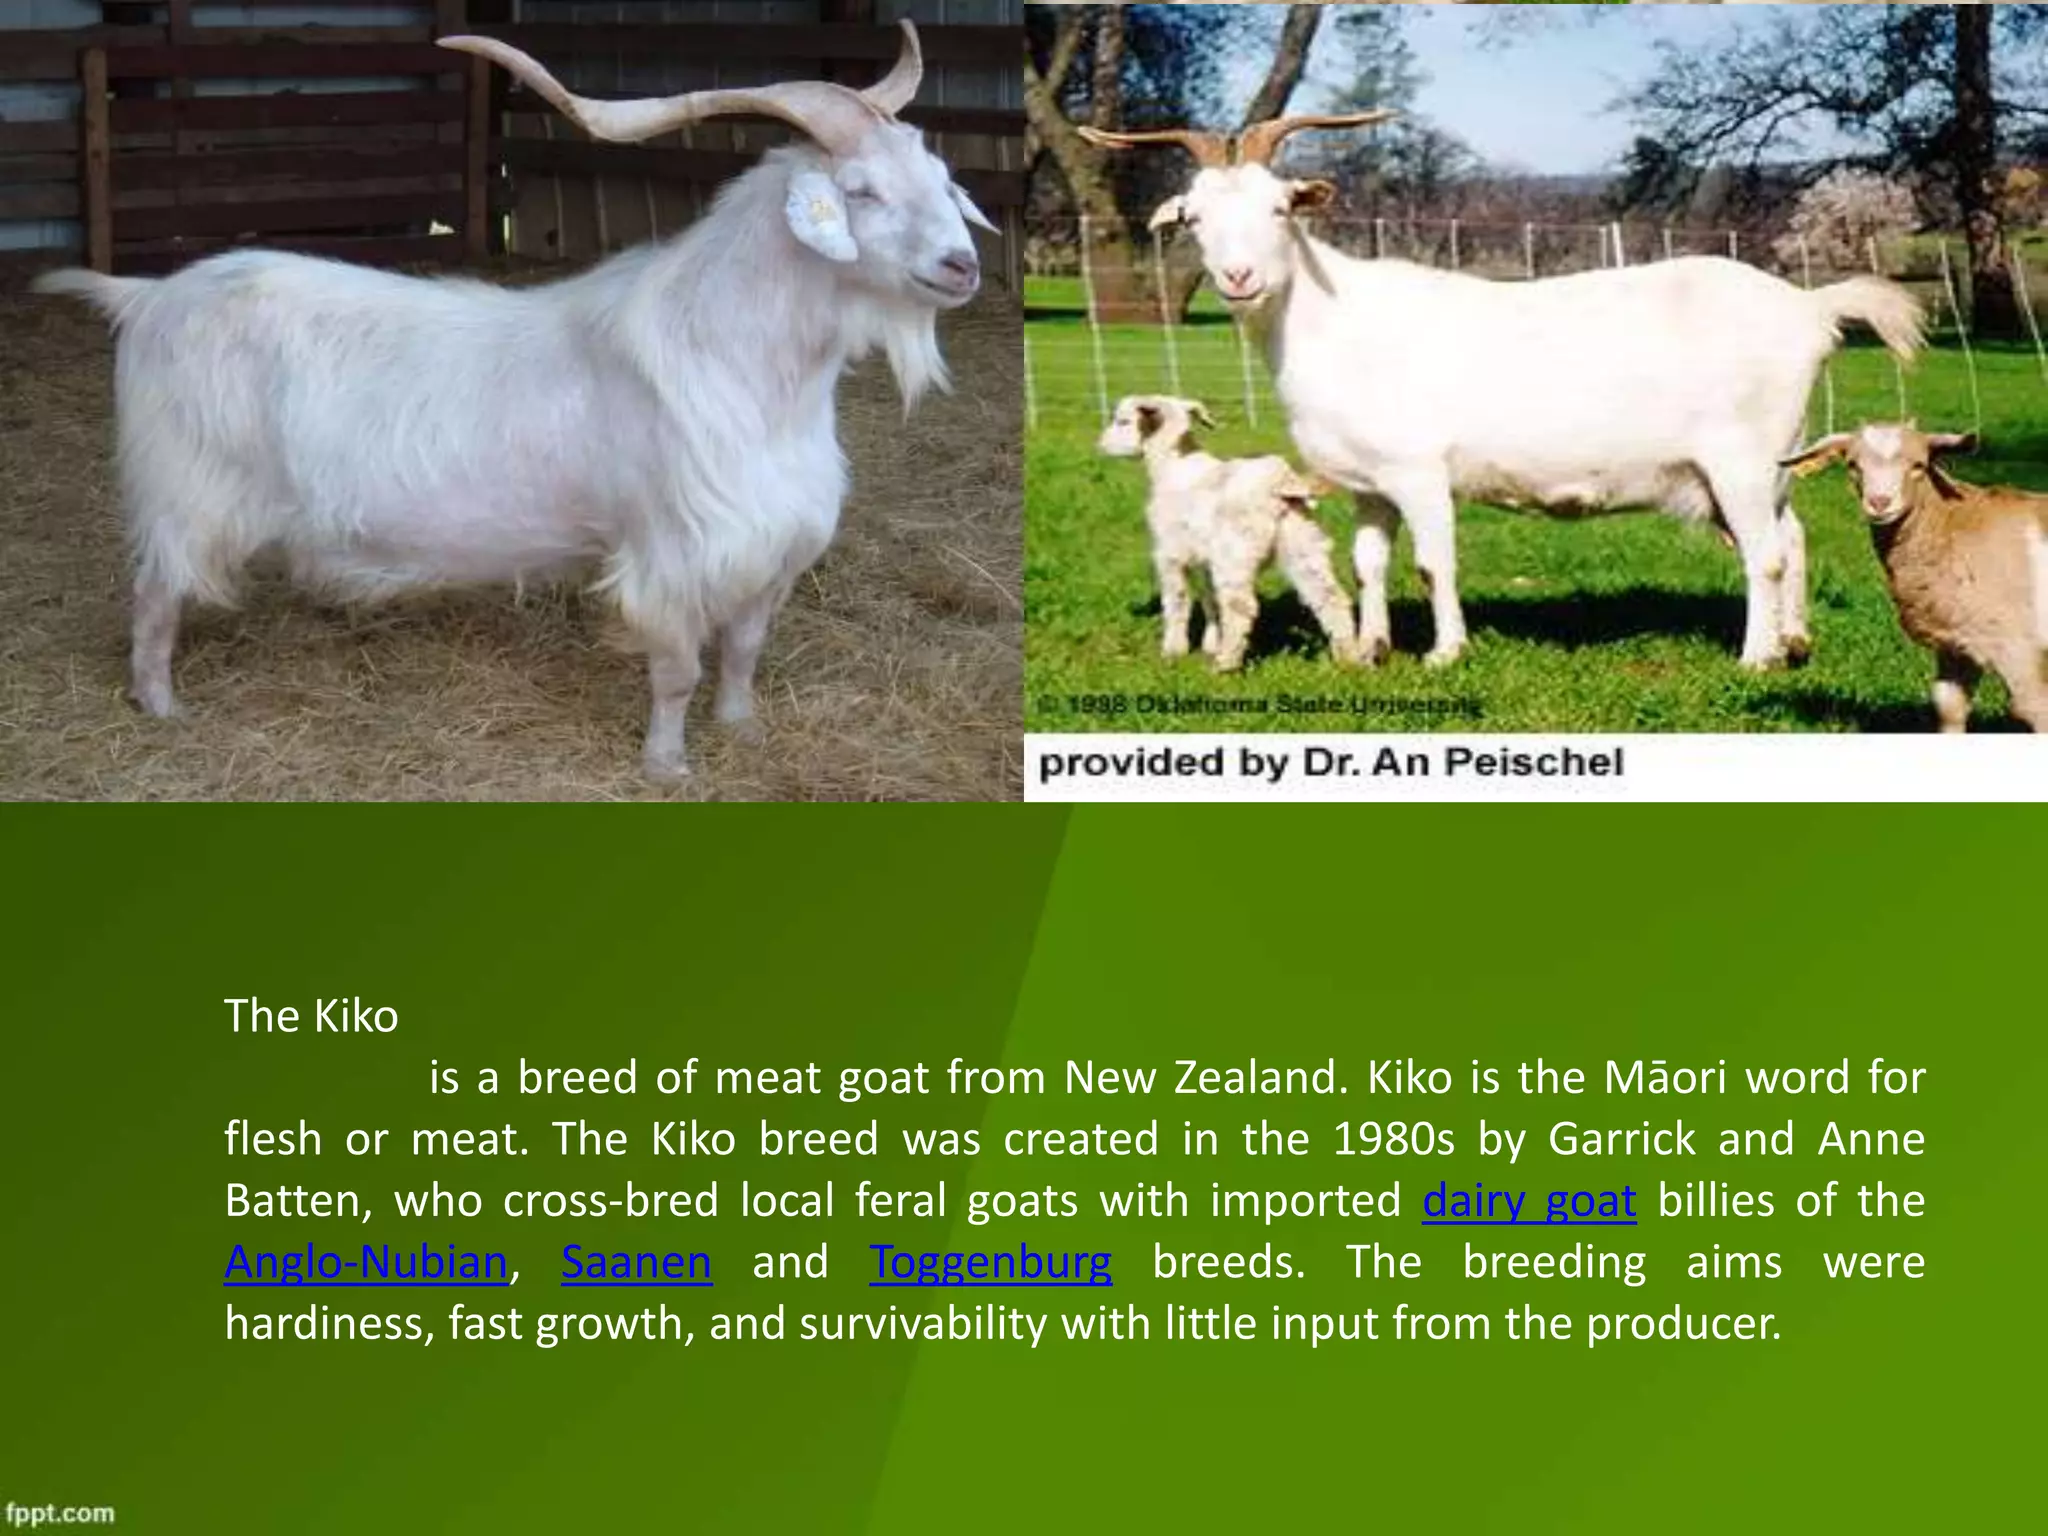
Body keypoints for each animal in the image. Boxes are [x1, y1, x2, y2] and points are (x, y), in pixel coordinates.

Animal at [34, 22, 995, 780]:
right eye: (861, 191)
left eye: (940, 176)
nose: (962, 267)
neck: (741, 363)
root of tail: (150, 298)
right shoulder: (671, 550)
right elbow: (678, 668)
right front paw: (667, 767)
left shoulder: (773, 541)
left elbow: (744, 650)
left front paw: (743, 732)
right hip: (186, 492)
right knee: (155, 596)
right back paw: (160, 706)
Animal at [1097, 393, 1358, 671]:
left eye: (1123, 421)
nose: (1100, 445)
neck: (1172, 467)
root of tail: (1279, 482)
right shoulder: (1203, 557)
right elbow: (1209, 598)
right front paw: (1211, 643)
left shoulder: (1169, 553)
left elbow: (1177, 600)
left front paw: (1173, 650)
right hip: (1301, 543)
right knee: (1331, 596)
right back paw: (1348, 658)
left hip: (1236, 552)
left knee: (1240, 606)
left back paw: (1224, 664)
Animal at [1783, 423, 2046, 732]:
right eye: (1852, 465)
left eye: (1919, 465)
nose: (1880, 502)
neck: (1954, 522)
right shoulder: (1956, 642)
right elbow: (1949, 706)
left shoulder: (2018, 647)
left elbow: (2033, 708)